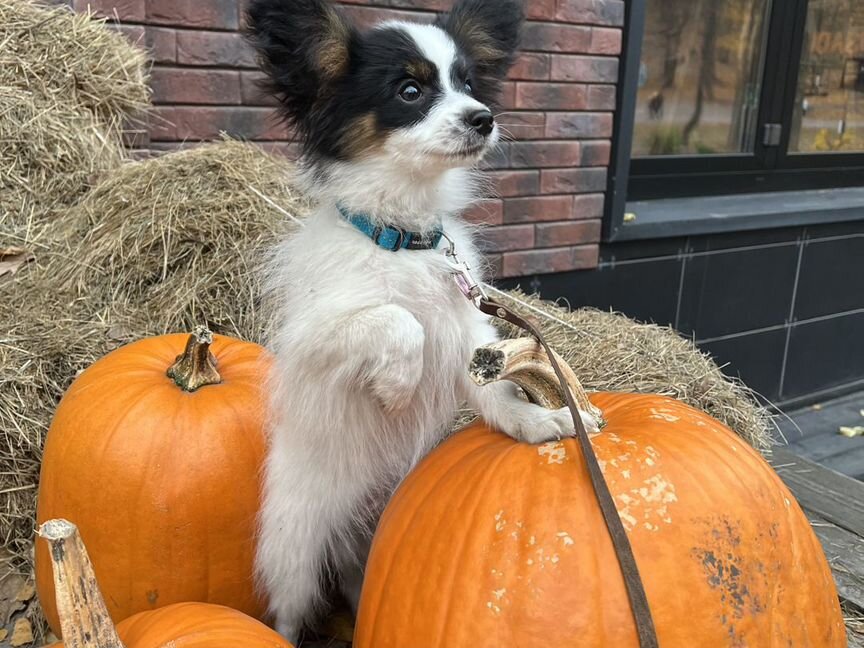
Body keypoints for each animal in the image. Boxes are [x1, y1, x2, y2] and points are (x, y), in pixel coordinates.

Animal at [245, 0, 592, 636]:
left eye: (469, 84)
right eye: (410, 91)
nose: (484, 119)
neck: (401, 239)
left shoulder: (467, 331)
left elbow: (497, 390)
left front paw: (535, 422)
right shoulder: (317, 339)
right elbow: (395, 321)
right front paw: (396, 386)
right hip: (295, 551)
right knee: (288, 611)